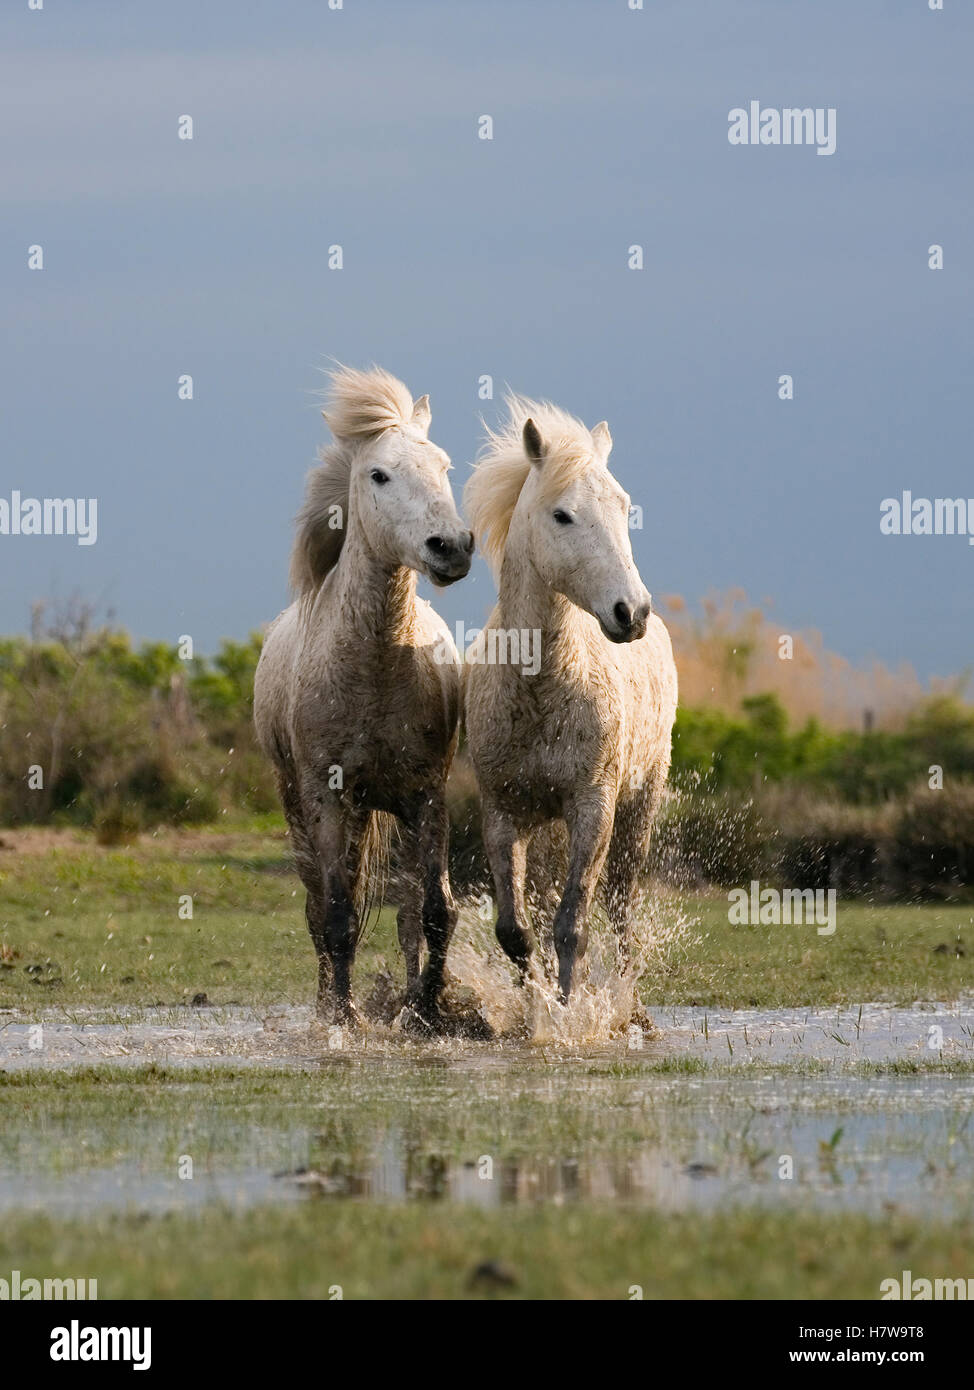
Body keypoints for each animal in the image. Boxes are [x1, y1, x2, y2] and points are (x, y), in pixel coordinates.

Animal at [254, 366, 474, 1027]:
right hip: (301, 806)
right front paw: (344, 1017)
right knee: (318, 906)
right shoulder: (328, 799)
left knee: (403, 913)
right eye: (378, 474)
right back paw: (329, 1001)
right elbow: (336, 915)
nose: (452, 547)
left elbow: (435, 911)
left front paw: (425, 1010)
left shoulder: (427, 797)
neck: (375, 668)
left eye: (444, 466)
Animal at [463, 395, 678, 1002]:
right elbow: (515, 931)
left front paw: (570, 1009)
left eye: (624, 507)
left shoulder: (592, 807)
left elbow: (572, 924)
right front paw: (533, 1003)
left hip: (639, 808)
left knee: (622, 907)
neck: (541, 689)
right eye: (562, 515)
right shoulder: (502, 814)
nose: (632, 612)